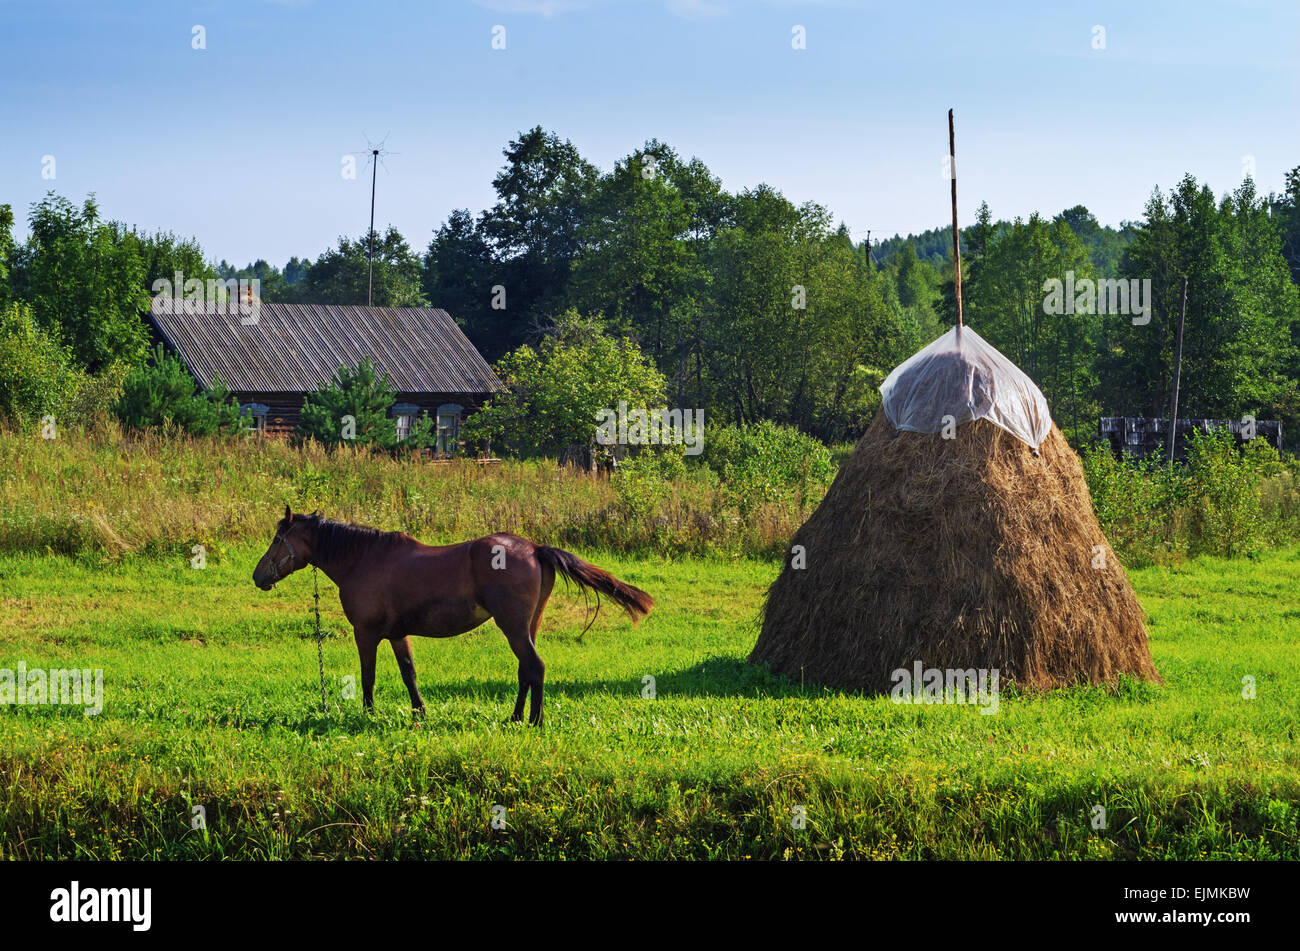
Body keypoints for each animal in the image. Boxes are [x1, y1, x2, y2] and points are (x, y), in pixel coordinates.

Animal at [252, 507, 653, 725]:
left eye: (276, 540)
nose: (258, 576)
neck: (362, 559)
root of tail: (535, 548)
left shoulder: (366, 633)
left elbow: (368, 678)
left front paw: (368, 713)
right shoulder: (397, 634)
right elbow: (409, 674)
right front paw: (420, 712)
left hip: (512, 626)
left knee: (535, 667)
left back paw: (535, 721)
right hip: (529, 625)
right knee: (525, 670)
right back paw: (515, 717)